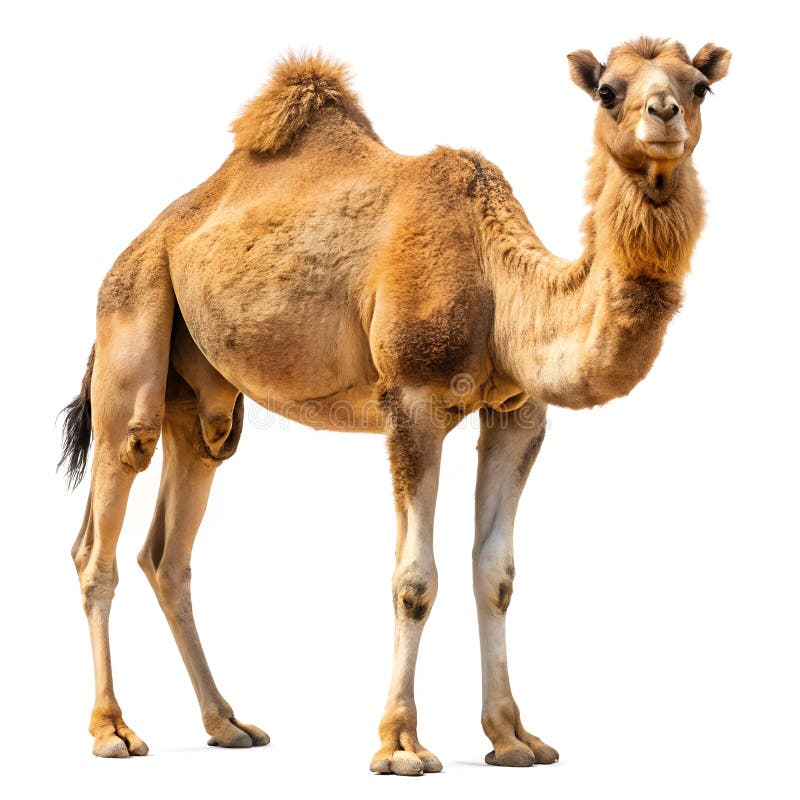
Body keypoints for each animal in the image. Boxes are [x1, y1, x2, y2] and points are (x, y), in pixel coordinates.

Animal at [60, 37, 730, 774]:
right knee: (100, 534)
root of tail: (143, 240)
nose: (663, 115)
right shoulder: (411, 399)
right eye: (609, 90)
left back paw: (227, 723)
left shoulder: (518, 413)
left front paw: (512, 738)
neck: (499, 282)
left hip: (205, 400)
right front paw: (401, 743)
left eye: (699, 86)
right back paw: (113, 730)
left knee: (169, 547)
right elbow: (414, 580)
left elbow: (496, 574)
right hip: (131, 319)